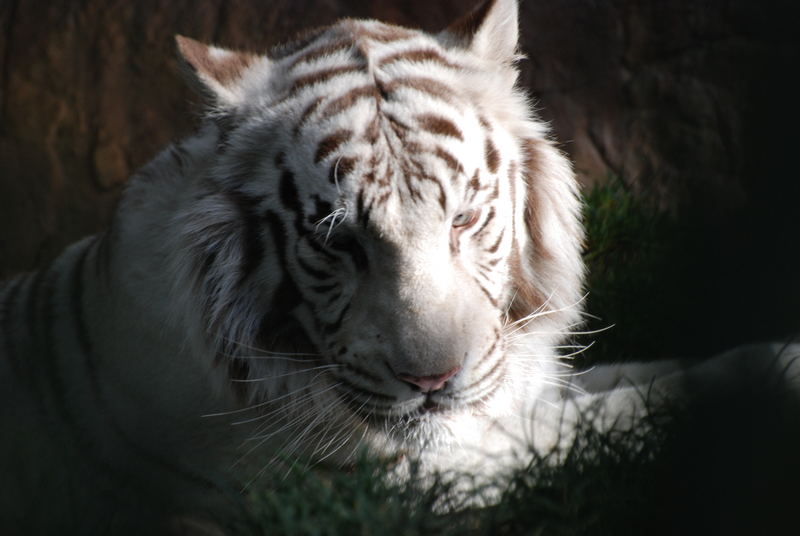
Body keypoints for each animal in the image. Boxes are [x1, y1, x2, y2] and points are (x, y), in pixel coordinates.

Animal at [2, 0, 798, 532]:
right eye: (339, 241)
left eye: (465, 219)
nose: (433, 383)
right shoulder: (405, 482)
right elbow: (627, 415)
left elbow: (638, 377)